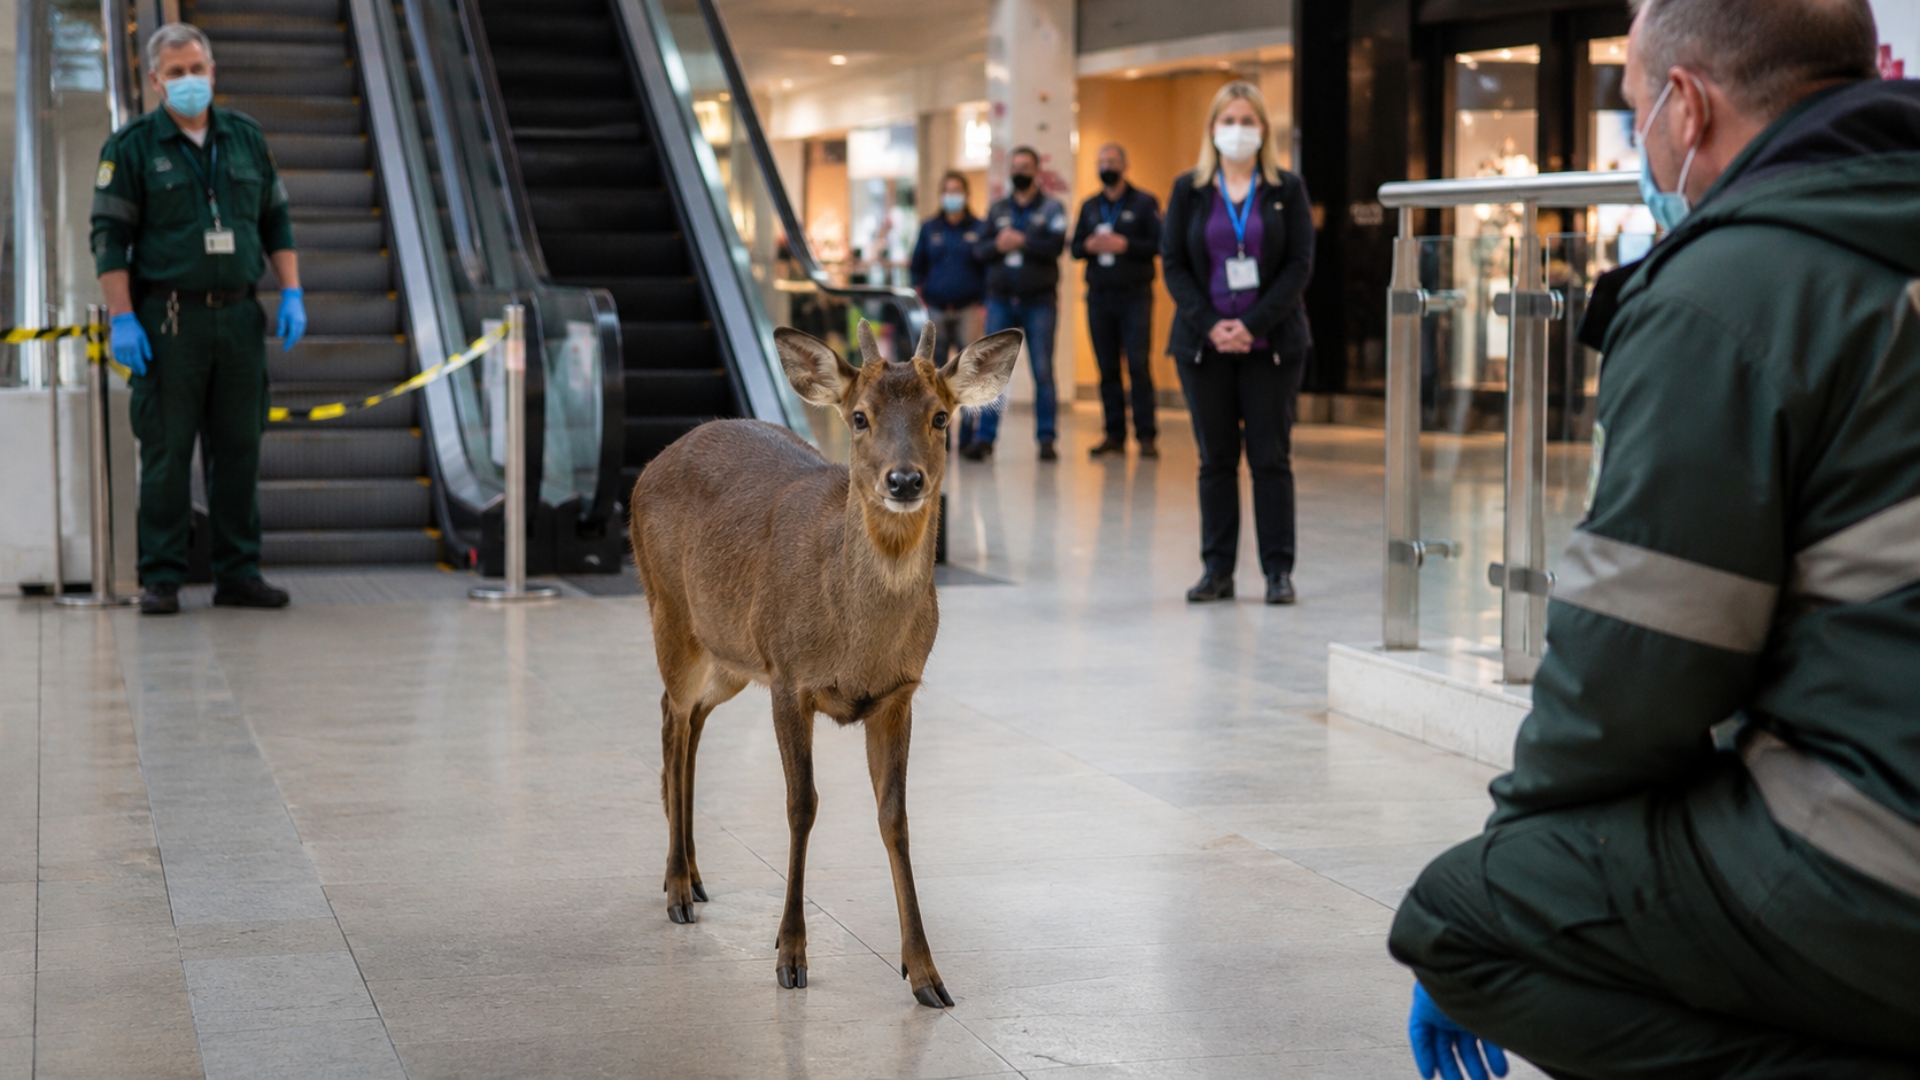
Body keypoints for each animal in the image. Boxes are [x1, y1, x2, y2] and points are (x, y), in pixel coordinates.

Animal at [629, 319, 1022, 1008]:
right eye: (860, 416)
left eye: (941, 415)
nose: (903, 480)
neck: (855, 641)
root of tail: (652, 464)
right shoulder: (790, 677)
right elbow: (801, 806)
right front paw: (790, 956)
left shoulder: (898, 694)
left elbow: (895, 817)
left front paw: (926, 973)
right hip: (669, 611)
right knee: (672, 720)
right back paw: (676, 887)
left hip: (731, 653)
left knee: (690, 720)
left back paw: (696, 873)